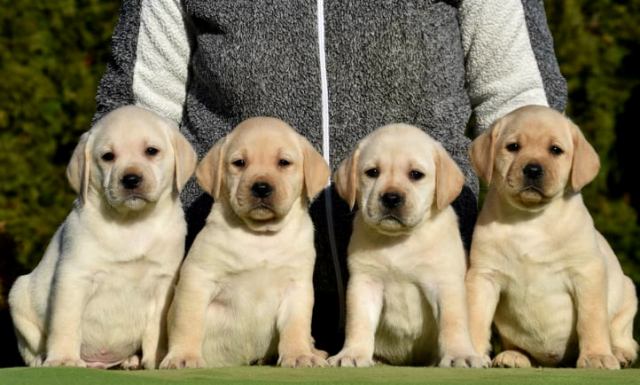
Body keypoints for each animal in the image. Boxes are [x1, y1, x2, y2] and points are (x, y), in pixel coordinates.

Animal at [8, 104, 198, 366]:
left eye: (151, 151)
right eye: (108, 156)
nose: (131, 179)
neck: (132, 223)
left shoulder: (163, 282)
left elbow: (156, 331)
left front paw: (156, 359)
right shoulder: (74, 277)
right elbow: (66, 322)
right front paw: (64, 359)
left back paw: (131, 360)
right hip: (18, 297)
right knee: (32, 348)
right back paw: (43, 359)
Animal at [160, 116, 330, 366]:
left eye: (284, 162)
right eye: (239, 163)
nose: (261, 187)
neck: (260, 237)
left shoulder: (297, 286)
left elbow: (296, 325)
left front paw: (299, 354)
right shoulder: (198, 278)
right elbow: (187, 321)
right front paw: (183, 356)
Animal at [330, 123, 484, 366]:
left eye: (416, 175)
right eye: (372, 172)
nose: (391, 198)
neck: (399, 240)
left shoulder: (445, 282)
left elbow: (453, 322)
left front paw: (460, 354)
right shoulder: (365, 282)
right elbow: (359, 322)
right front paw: (353, 354)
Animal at [468, 103, 636, 368]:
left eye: (555, 150)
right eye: (513, 147)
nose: (533, 169)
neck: (530, 219)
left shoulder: (587, 274)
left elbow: (591, 320)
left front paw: (596, 356)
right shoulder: (484, 275)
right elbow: (475, 318)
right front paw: (469, 352)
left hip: (627, 297)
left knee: (622, 335)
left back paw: (619, 353)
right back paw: (514, 355)